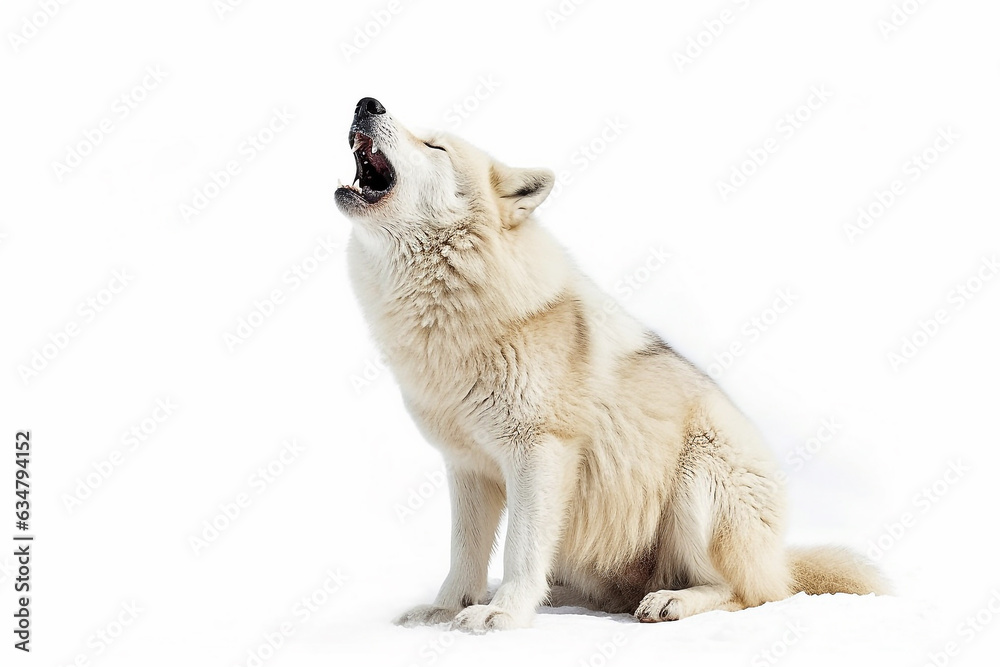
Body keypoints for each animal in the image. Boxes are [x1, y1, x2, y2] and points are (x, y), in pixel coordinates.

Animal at [335, 97, 887, 633]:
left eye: (435, 146)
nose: (367, 103)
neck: (453, 314)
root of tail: (781, 561)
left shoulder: (539, 452)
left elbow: (519, 549)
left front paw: (503, 614)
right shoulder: (467, 467)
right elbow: (462, 554)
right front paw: (447, 610)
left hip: (698, 477)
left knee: (743, 593)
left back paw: (669, 601)